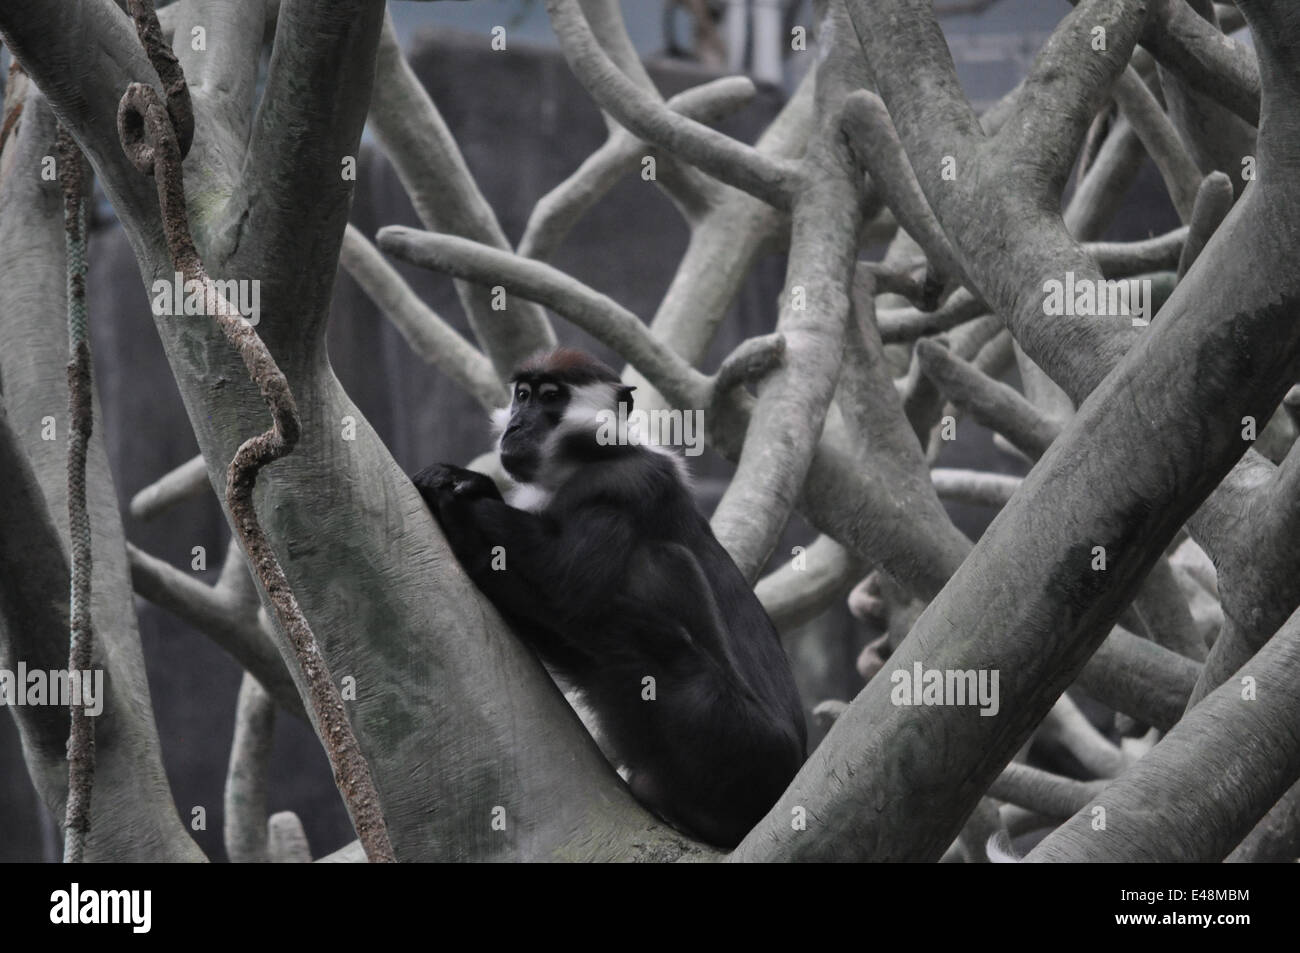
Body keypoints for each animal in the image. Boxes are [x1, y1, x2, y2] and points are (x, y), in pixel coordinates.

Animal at [413, 348, 806, 848]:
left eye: (550, 397)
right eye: (521, 395)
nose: (516, 425)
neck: (580, 463)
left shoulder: (623, 483)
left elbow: (569, 580)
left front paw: (465, 499)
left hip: (741, 739)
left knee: (660, 567)